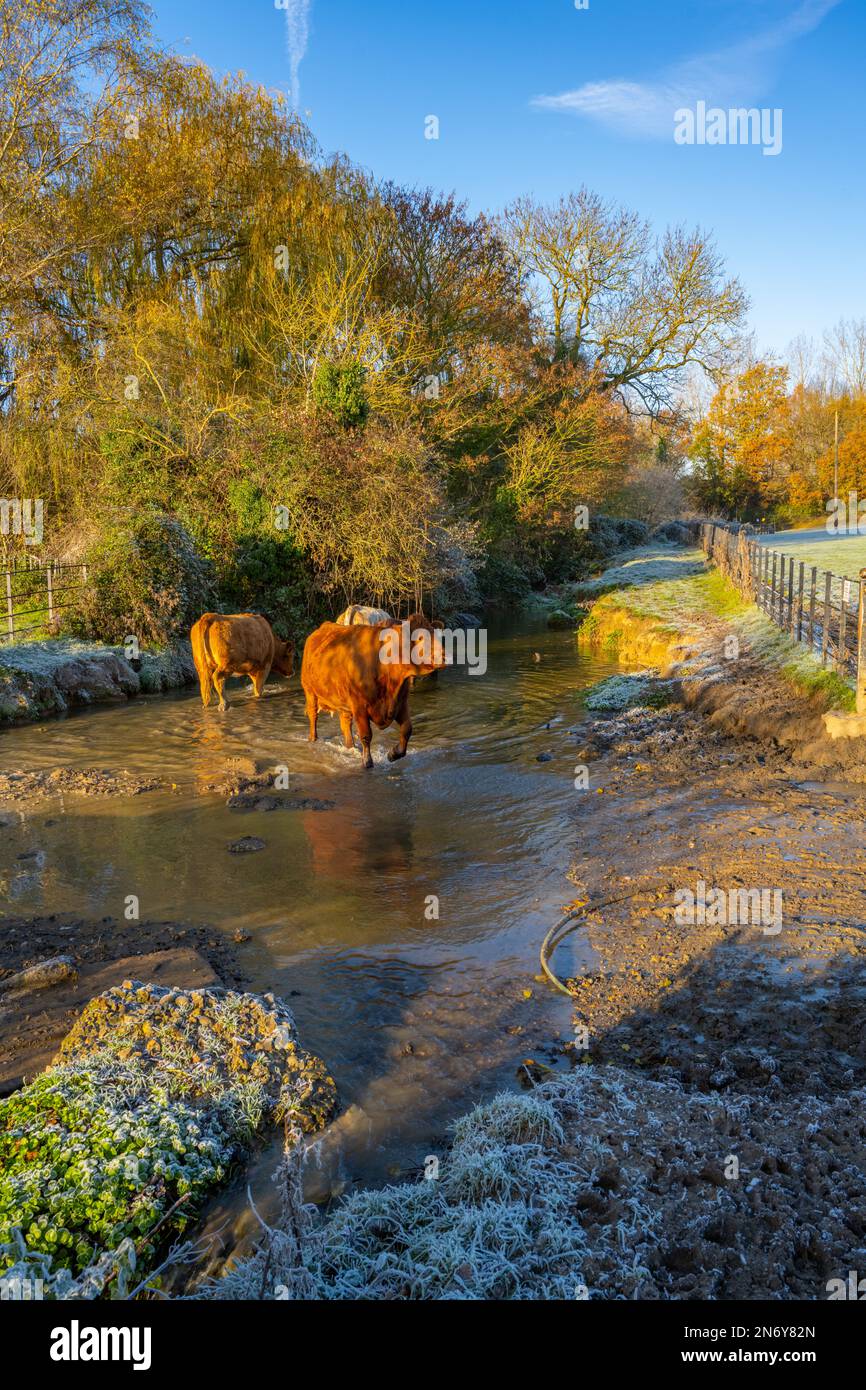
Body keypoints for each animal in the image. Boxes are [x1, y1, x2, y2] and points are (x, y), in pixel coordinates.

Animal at [301, 614, 447, 768]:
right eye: (420, 638)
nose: (444, 656)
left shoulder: (400, 702)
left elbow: (407, 729)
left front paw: (393, 754)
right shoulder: (360, 707)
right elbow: (366, 735)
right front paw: (367, 762)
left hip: (343, 702)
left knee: (345, 723)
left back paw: (351, 747)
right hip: (309, 691)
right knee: (313, 716)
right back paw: (313, 739)